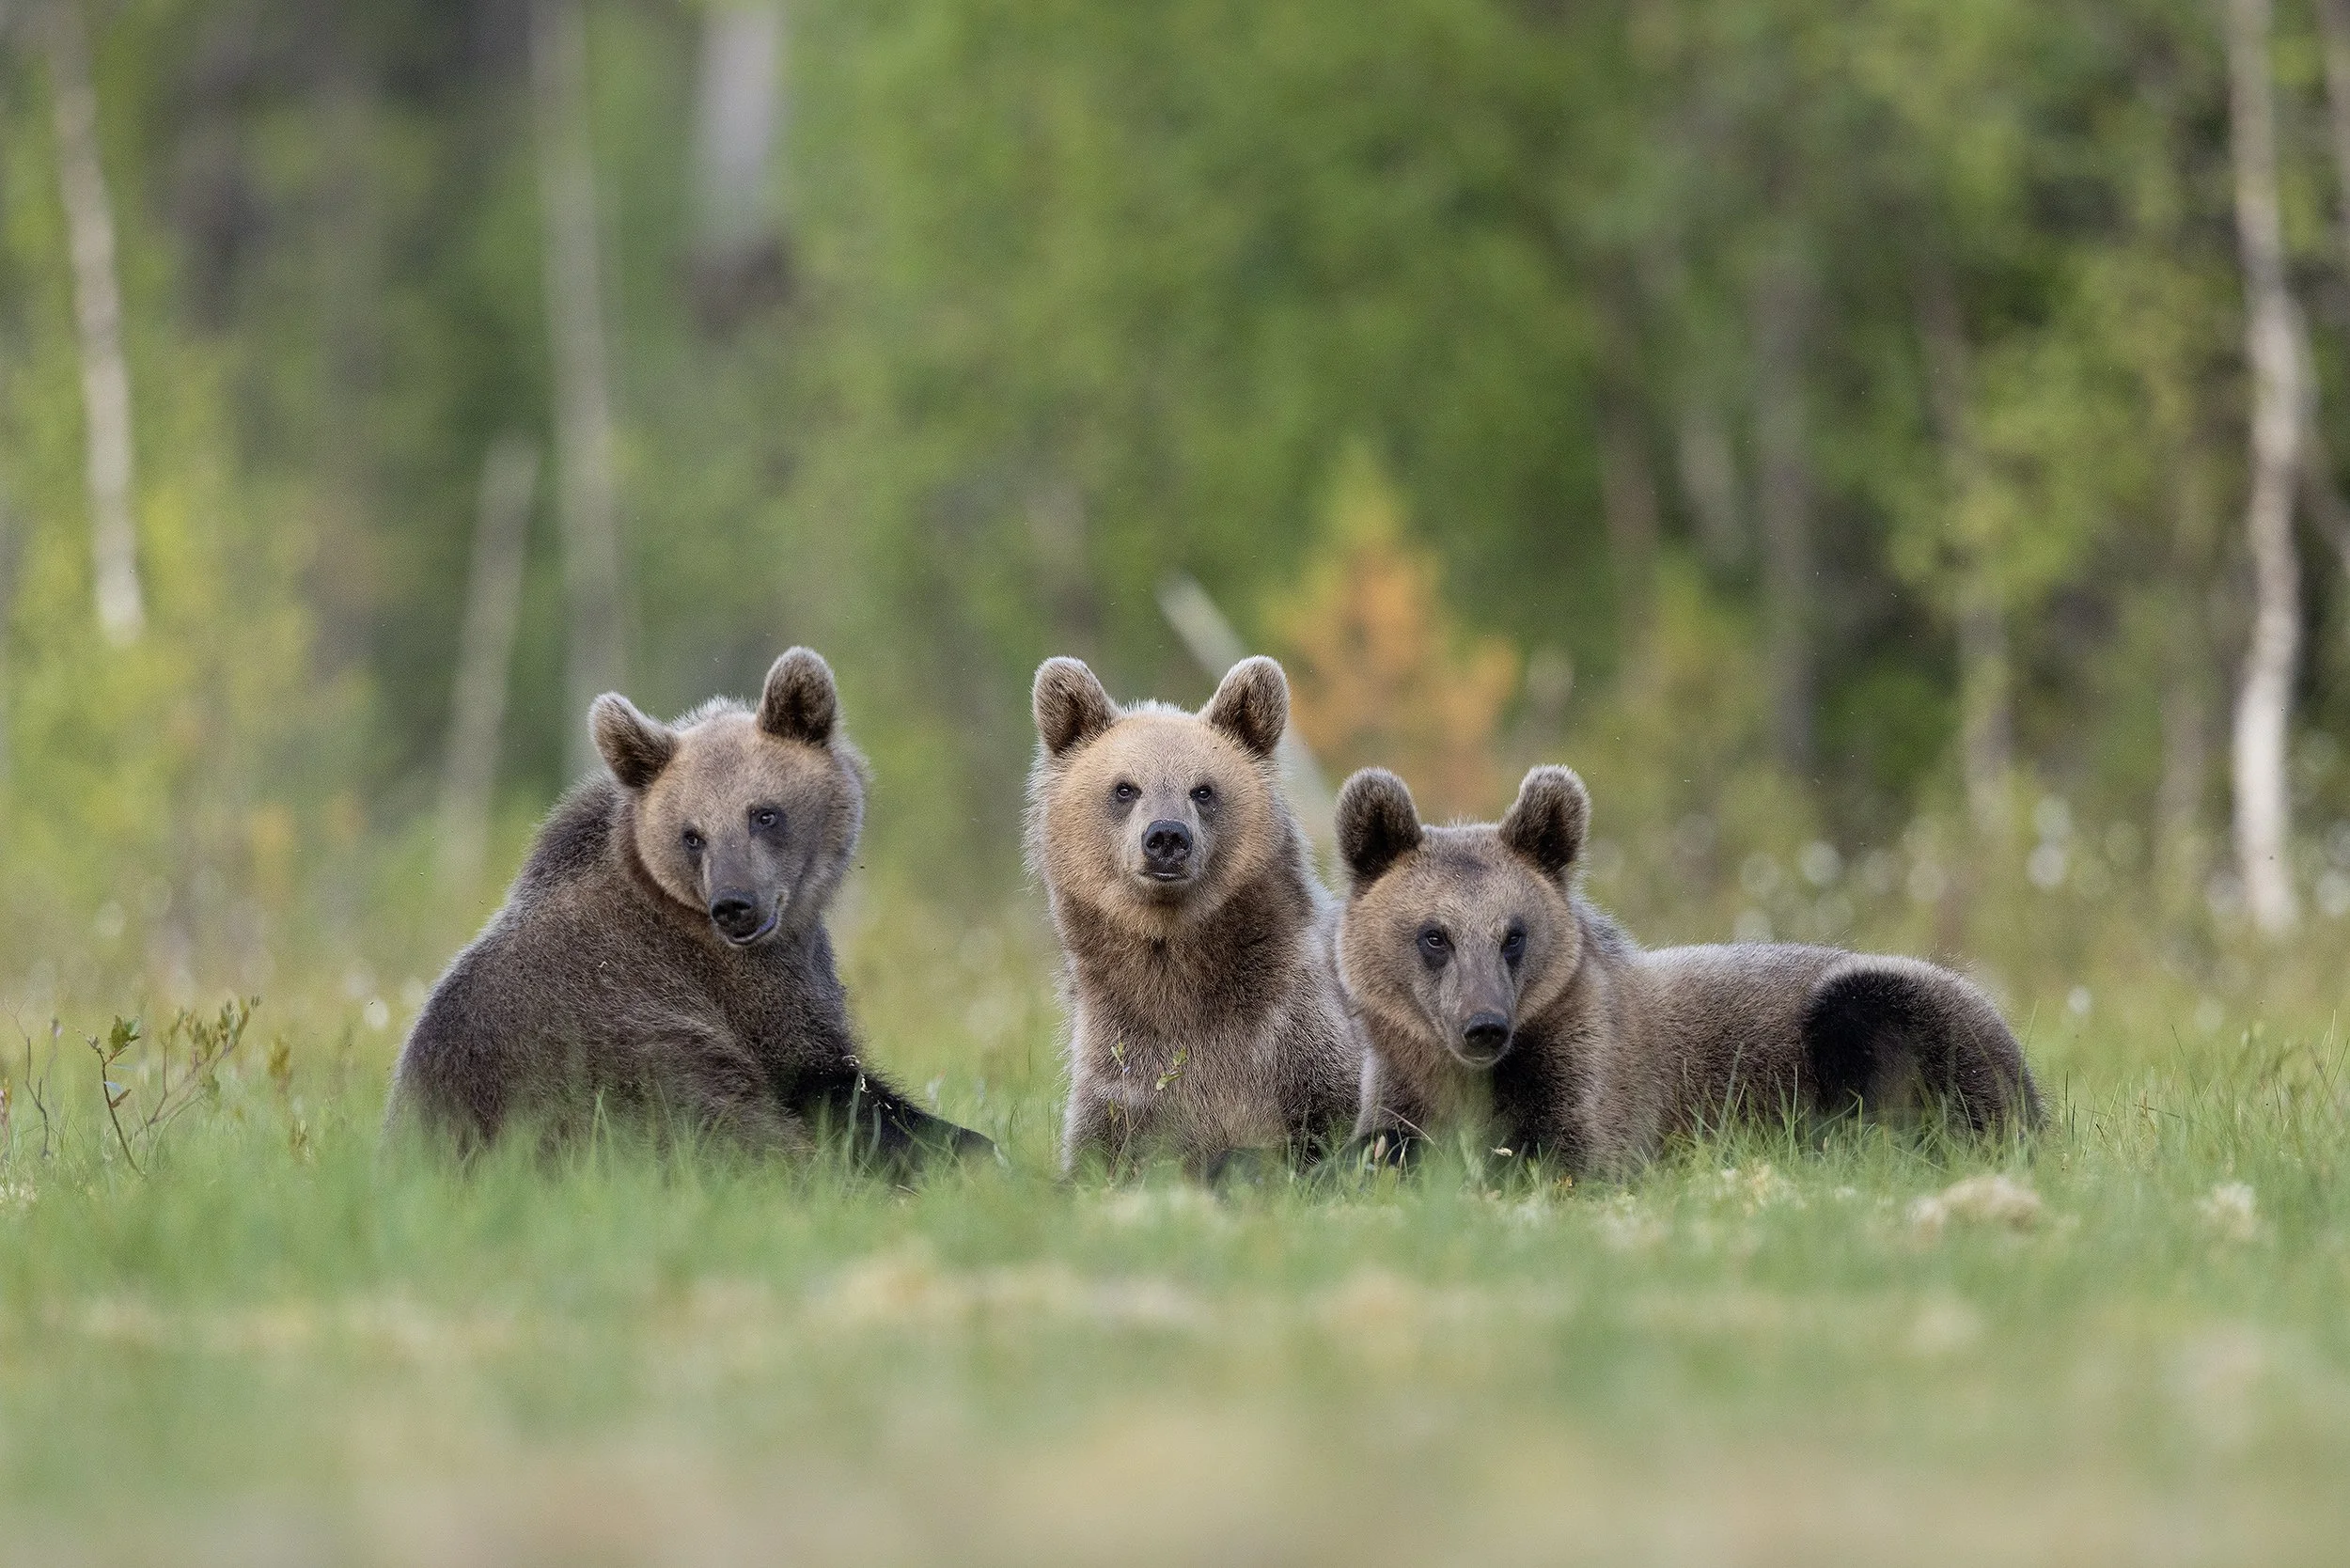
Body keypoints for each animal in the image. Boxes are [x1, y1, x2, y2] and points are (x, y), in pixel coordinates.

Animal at [386, 647, 993, 1171]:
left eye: (763, 814)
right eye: (692, 834)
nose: (734, 906)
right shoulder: (737, 993)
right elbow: (828, 1084)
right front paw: (968, 1147)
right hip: (600, 1064)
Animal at [1027, 654, 1365, 1176]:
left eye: (1203, 790)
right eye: (1125, 788)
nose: (1167, 836)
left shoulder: (1297, 1034)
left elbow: (1334, 1118)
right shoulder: (1121, 1054)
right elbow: (1097, 1150)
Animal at [1333, 763, 2041, 1174]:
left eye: (1514, 935)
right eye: (1434, 936)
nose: (1484, 1025)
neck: (1464, 1075)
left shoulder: (1595, 1070)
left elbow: (1567, 1150)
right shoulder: (1401, 1078)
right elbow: (1382, 1137)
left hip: (1904, 1009)